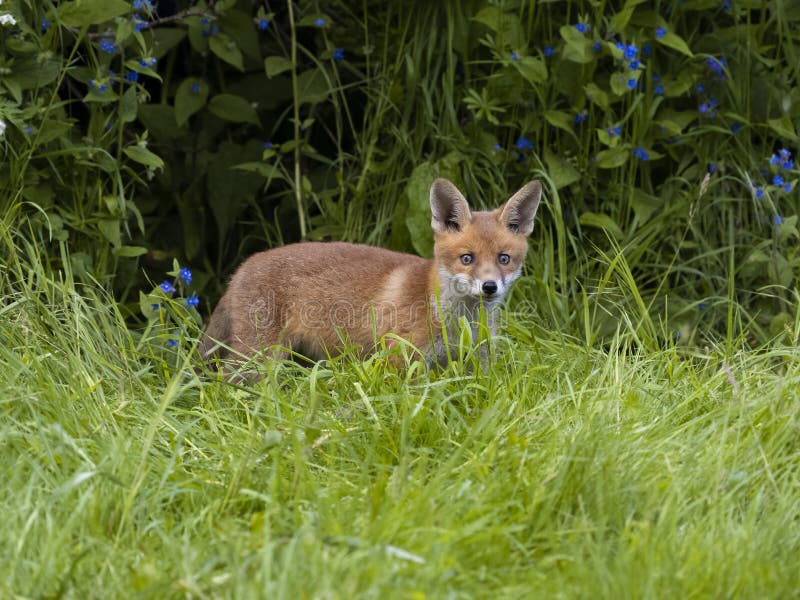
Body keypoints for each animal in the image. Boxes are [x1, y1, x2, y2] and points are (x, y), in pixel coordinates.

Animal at [200, 178, 542, 372]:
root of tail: (241, 268)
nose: (489, 287)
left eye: (504, 259)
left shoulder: (477, 363)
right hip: (258, 358)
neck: (458, 323)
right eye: (467, 259)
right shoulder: (398, 357)